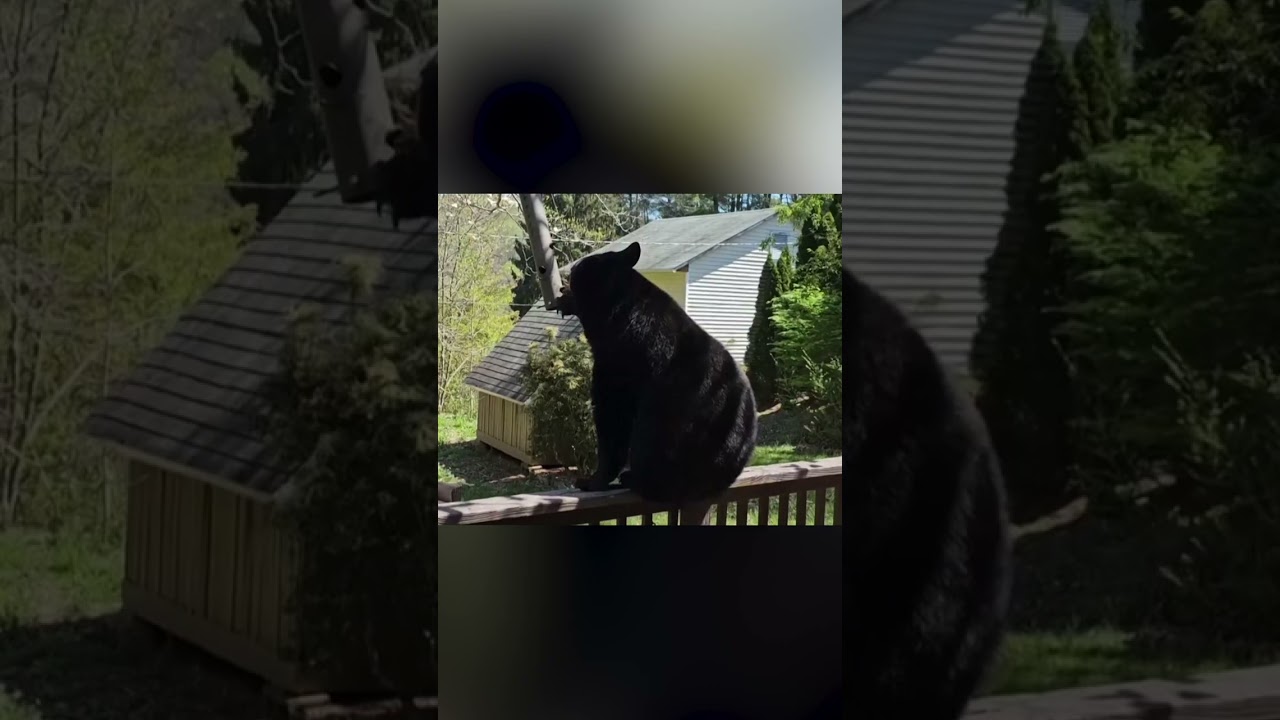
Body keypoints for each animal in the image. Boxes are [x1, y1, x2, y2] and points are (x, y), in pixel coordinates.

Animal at [554, 241, 757, 505]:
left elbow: (612, 418)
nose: (563, 284)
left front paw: (592, 481)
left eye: (577, 272)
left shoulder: (617, 365)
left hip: (669, 429)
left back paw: (633, 478)